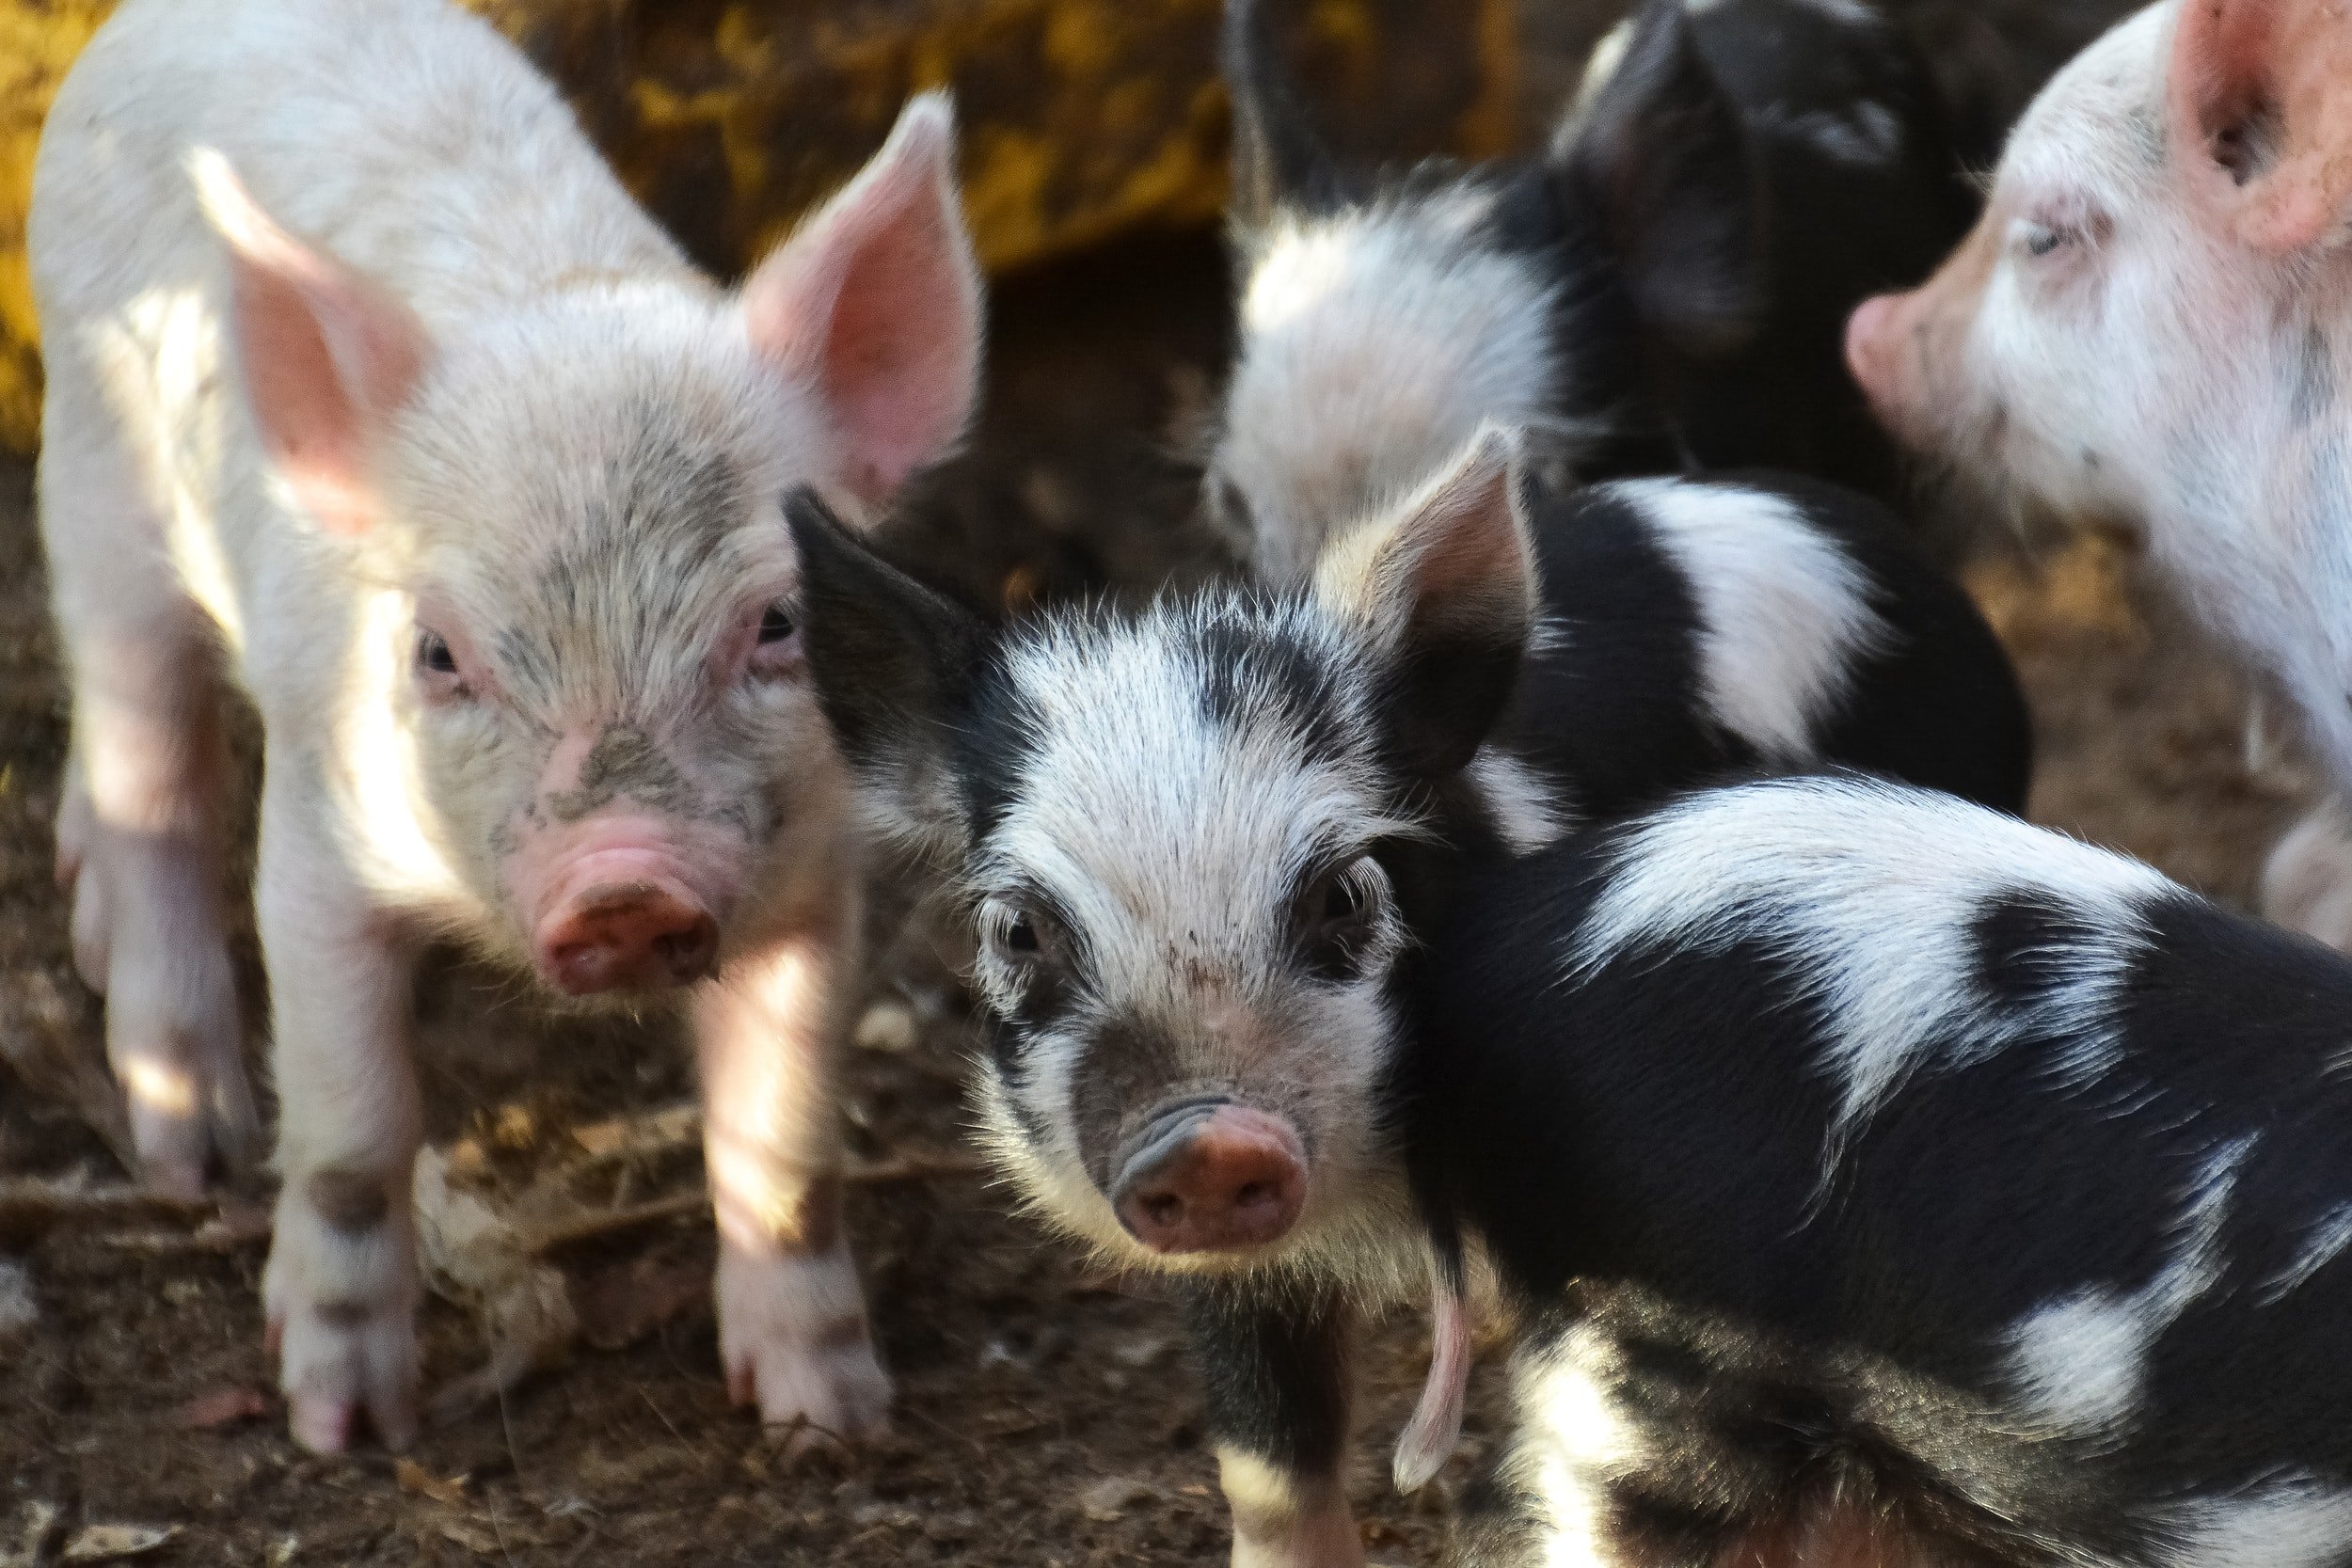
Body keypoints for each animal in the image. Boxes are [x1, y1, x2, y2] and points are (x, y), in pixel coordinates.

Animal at [29, 0, 981, 1452]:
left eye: (776, 623)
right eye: (437, 653)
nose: (625, 882)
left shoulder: (819, 878)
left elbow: (784, 1146)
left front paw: (832, 1417)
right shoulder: (323, 835)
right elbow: (355, 1135)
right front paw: (344, 1424)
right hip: (95, 487)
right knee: (155, 773)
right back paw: (191, 1145)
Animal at [786, 424, 2030, 1567]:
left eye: (1341, 893)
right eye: (1017, 927)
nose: (1205, 1138)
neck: (1374, 1210)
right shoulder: (1239, 1275)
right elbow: (1268, 1458)